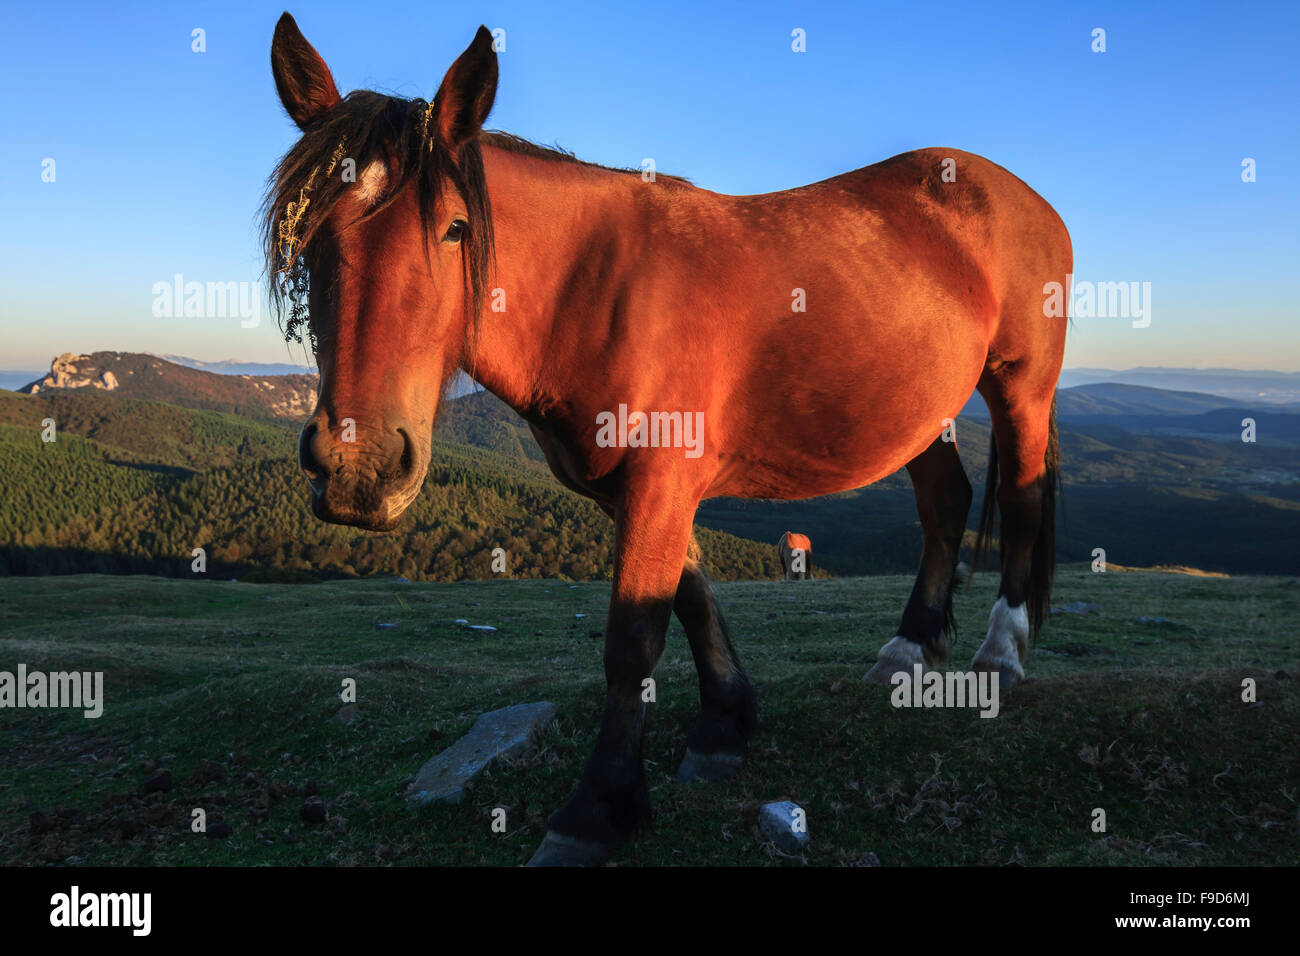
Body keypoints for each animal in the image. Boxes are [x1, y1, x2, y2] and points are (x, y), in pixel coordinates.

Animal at [264, 14, 1069, 865]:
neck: (596, 290)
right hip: (918, 409)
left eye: (454, 229)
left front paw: (598, 808)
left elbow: (634, 639)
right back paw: (909, 649)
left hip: (1020, 386)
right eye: (304, 238)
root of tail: (1019, 194)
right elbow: (688, 594)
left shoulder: (661, 478)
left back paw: (1001, 653)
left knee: (1020, 502)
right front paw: (726, 724)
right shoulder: (636, 486)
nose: (358, 467)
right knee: (946, 500)